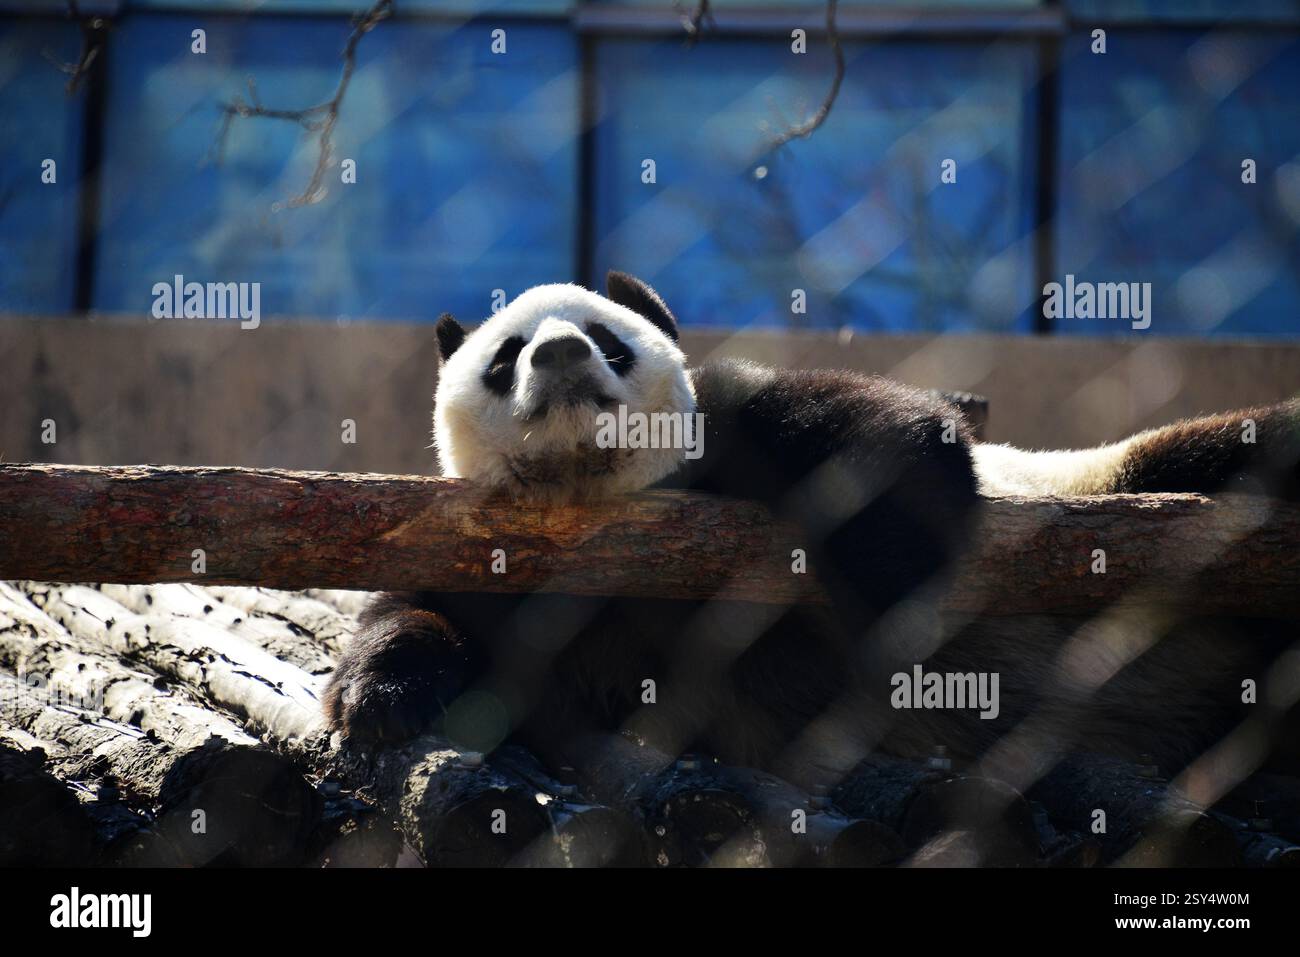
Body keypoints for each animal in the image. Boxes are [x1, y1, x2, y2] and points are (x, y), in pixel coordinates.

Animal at [324, 272, 1300, 788]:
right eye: (505, 356)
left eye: (607, 336)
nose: (561, 355)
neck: (593, 504)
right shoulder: (490, 551)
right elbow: (415, 615)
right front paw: (379, 697)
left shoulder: (725, 430)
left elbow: (884, 436)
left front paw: (892, 606)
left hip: (1124, 476)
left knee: (1232, 450)